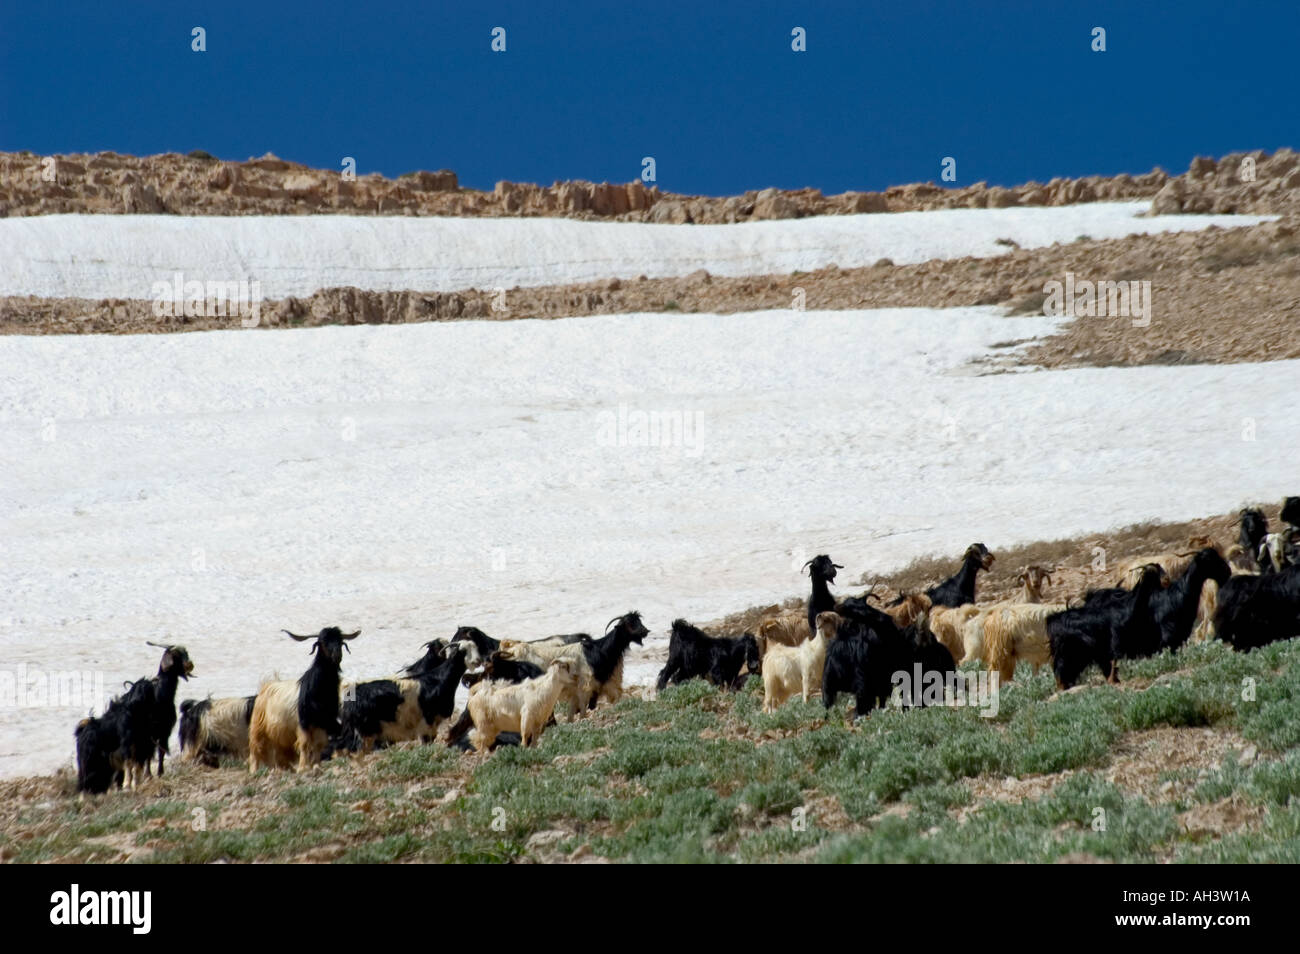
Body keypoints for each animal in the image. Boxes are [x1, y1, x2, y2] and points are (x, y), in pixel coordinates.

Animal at [248, 627, 358, 773]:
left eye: (340, 641)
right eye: (323, 642)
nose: (337, 655)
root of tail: (266, 686)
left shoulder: (321, 723)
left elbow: (318, 744)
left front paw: (316, 765)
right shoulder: (304, 723)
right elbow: (305, 744)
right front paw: (303, 768)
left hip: (280, 734)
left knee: (277, 752)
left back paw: (279, 769)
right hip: (258, 726)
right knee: (256, 748)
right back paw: (254, 771)